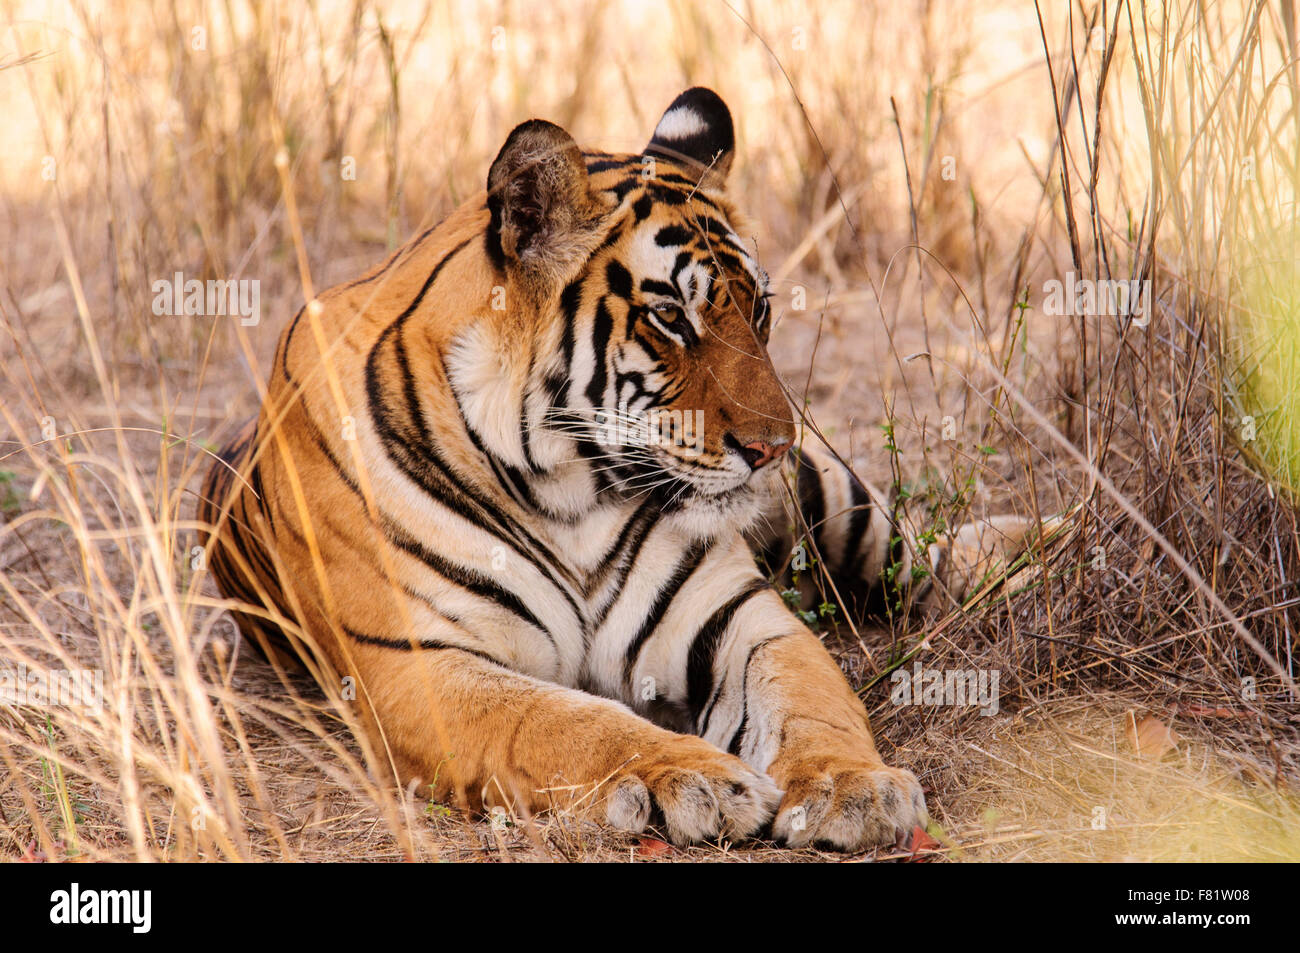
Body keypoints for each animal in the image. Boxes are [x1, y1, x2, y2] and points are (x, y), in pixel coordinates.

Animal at [198, 87, 1039, 850]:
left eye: (760, 310)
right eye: (672, 317)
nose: (774, 445)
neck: (561, 486)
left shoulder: (738, 614)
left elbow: (810, 698)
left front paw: (851, 785)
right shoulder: (421, 666)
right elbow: (564, 722)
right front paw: (696, 777)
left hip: (831, 501)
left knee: (912, 553)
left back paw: (1029, 550)